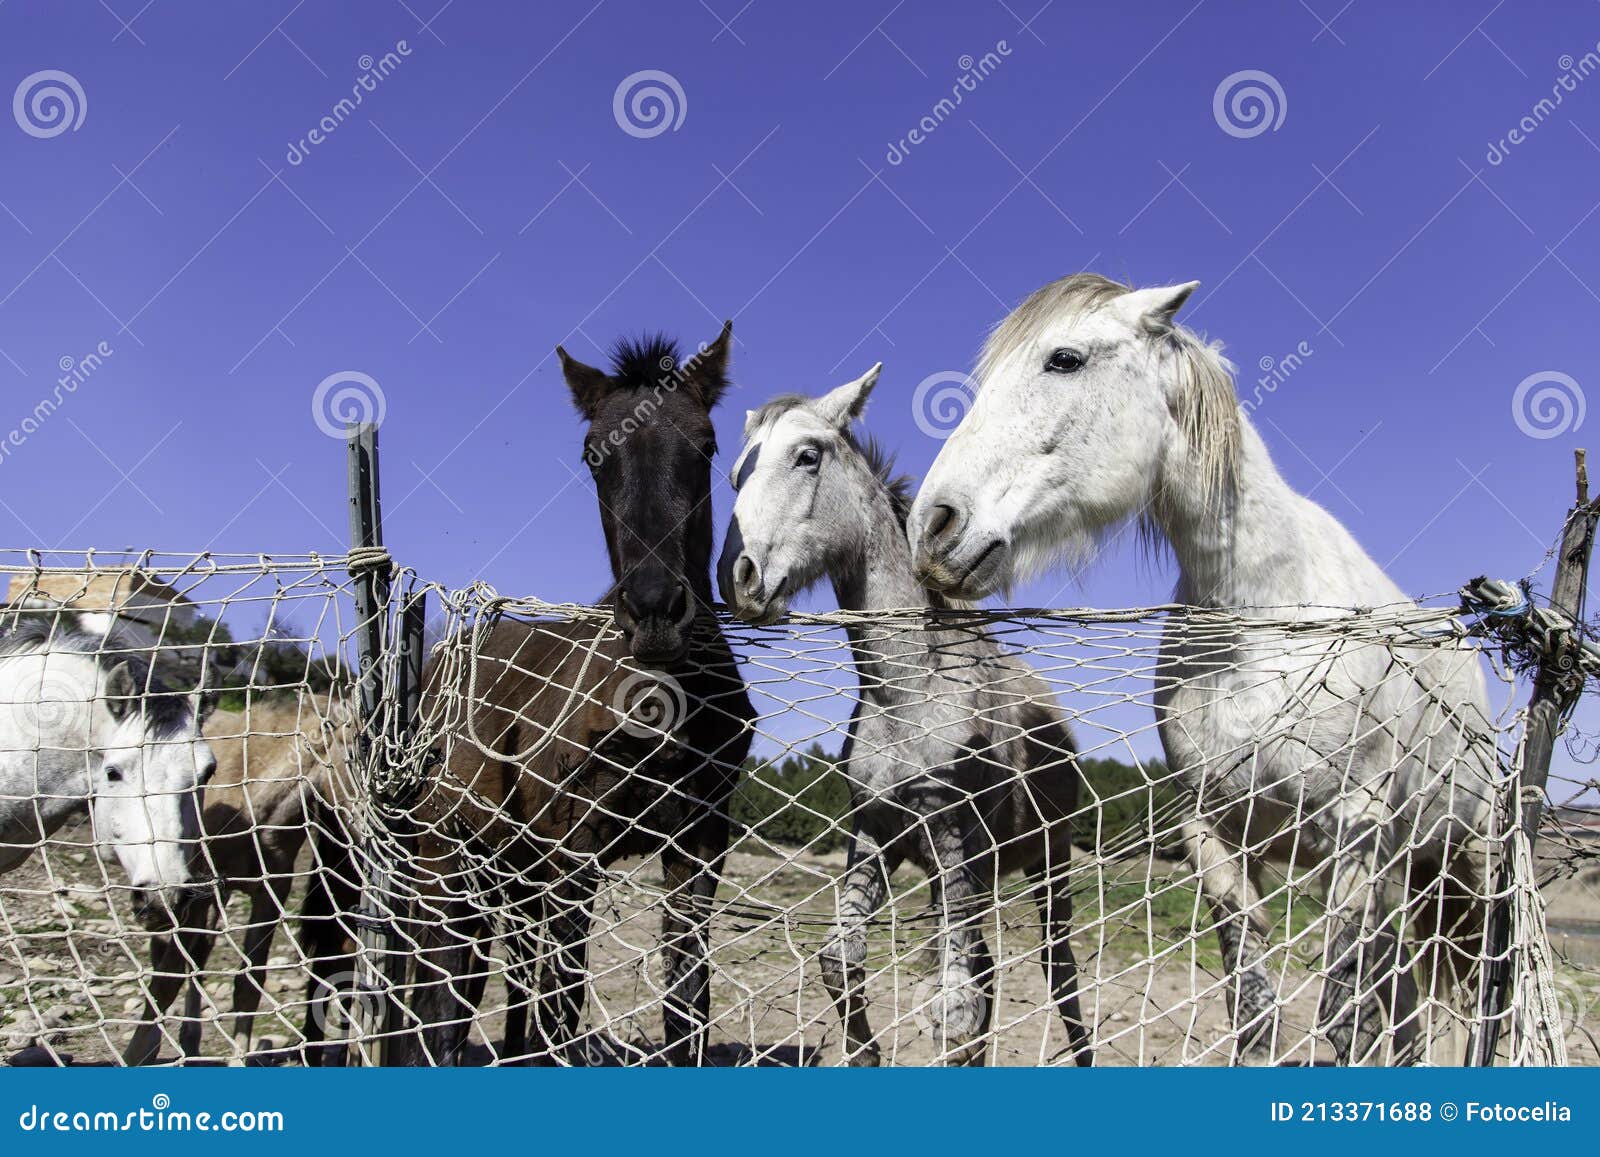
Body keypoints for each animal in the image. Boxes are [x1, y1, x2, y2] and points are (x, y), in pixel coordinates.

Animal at [123, 695, 361, 1066]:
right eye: (356, 753)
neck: (249, 809)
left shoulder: (270, 893)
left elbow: (249, 983)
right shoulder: (194, 896)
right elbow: (166, 981)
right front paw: (135, 1054)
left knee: (200, 958)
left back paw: (190, 1043)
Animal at [407, 323, 754, 1065]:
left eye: (707, 445)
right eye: (594, 458)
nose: (655, 611)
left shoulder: (698, 849)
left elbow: (687, 1006)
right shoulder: (574, 857)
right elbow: (559, 1007)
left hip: (507, 871)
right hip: (446, 858)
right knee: (439, 994)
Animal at [717, 366, 1091, 1066]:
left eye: (808, 456)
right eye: (733, 477)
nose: (740, 579)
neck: (907, 692)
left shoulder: (953, 838)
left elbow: (955, 1006)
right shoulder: (875, 835)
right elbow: (841, 961)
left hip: (1048, 862)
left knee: (1060, 975)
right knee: (987, 969)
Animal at [908, 273, 1498, 1064]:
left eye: (1064, 359)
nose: (934, 527)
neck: (1261, 620)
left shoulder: (1357, 837)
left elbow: (1342, 1021)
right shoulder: (1216, 843)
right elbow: (1254, 1017)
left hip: (1466, 864)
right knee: (1402, 1006)